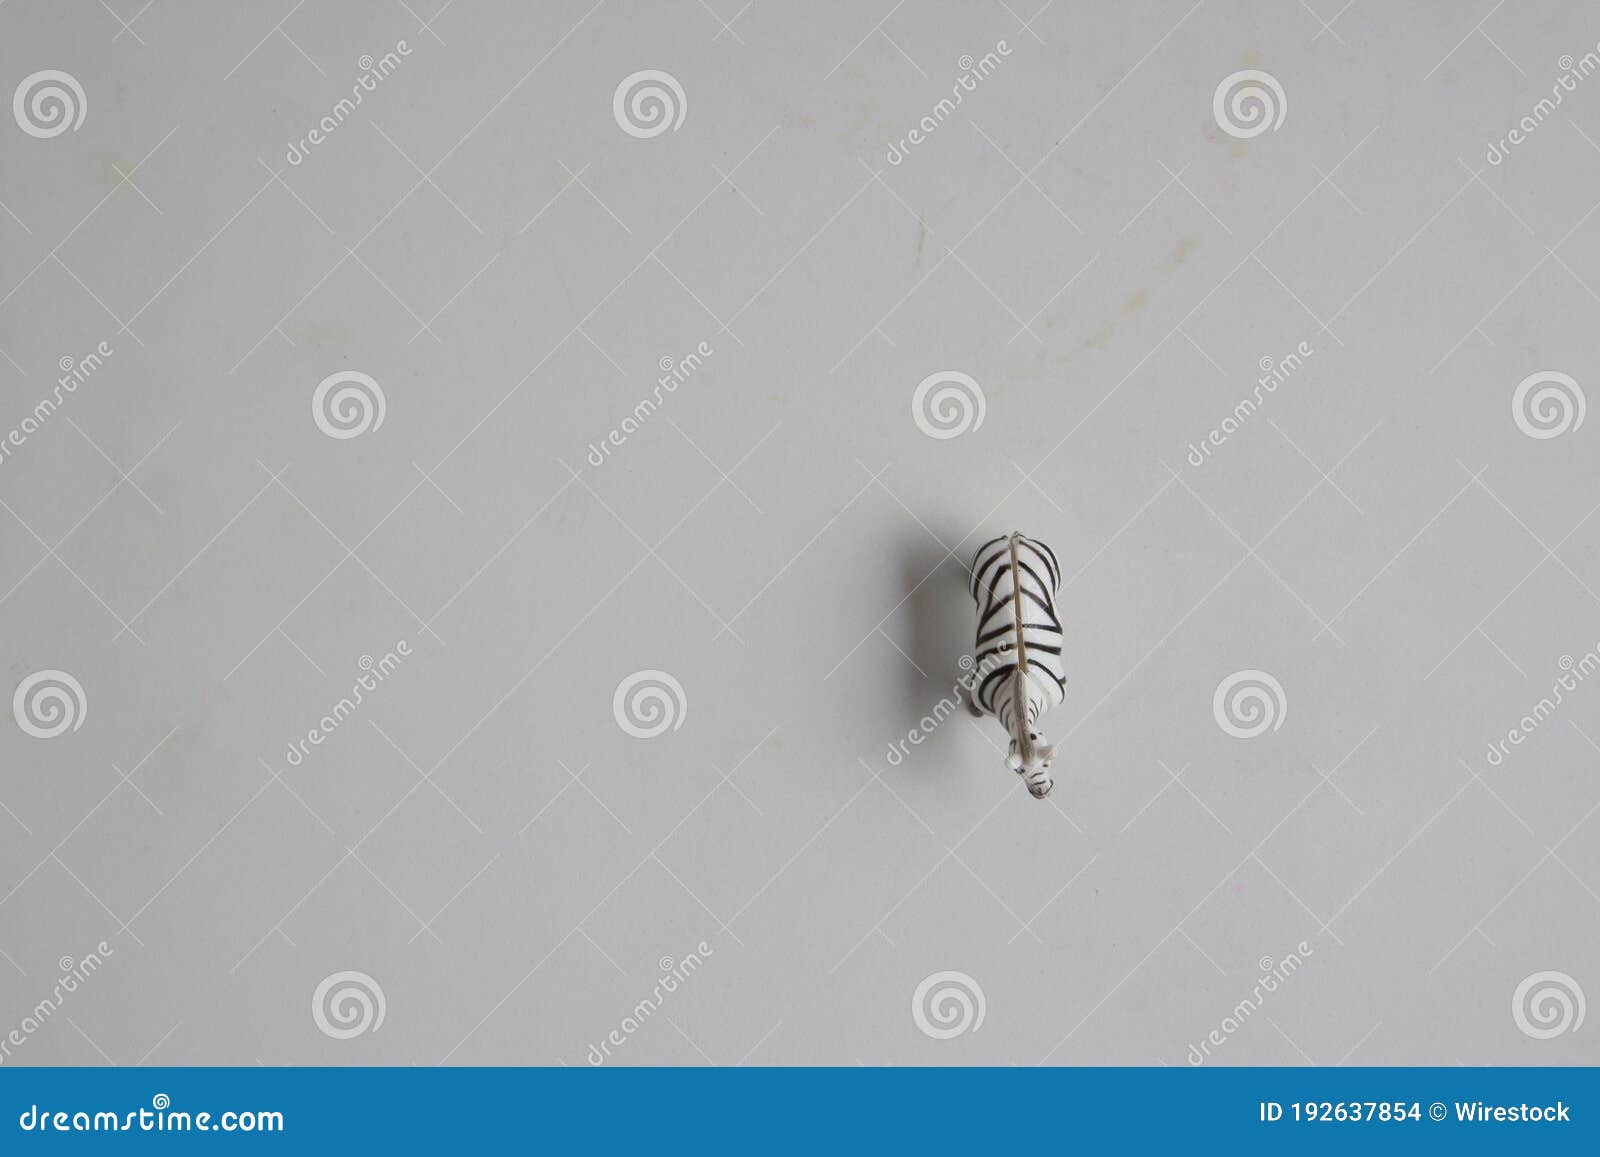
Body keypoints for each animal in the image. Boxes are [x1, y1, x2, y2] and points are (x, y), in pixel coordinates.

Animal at [966, 532, 1065, 798]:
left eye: (1048, 764)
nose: (1042, 793)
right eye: (1019, 772)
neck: (1020, 681)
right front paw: (974, 712)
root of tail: (1013, 539)